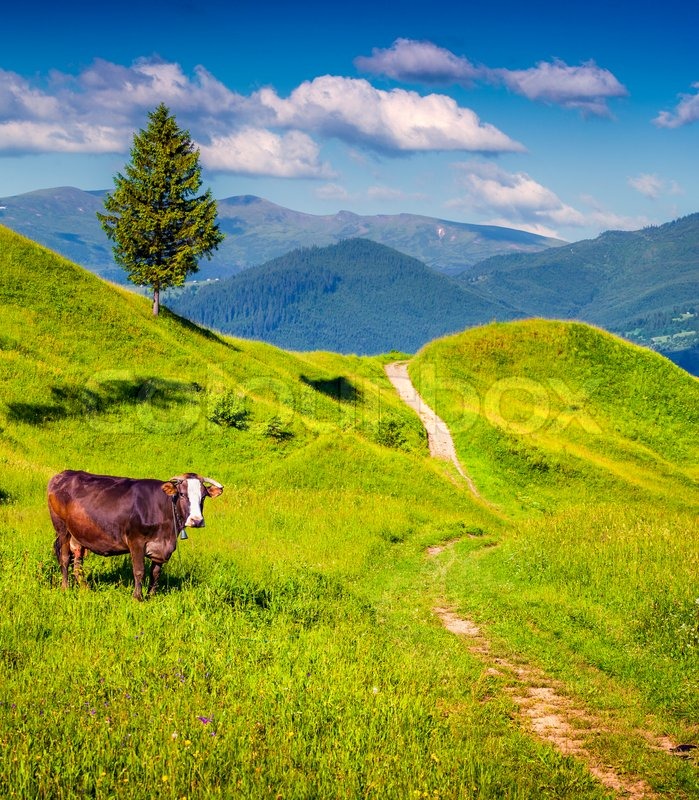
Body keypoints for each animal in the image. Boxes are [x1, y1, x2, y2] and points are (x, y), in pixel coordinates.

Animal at [48, 470, 223, 600]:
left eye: (203, 496)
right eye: (181, 494)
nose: (197, 520)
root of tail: (61, 475)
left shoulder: (161, 547)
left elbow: (155, 573)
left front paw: (151, 597)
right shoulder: (136, 541)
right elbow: (139, 571)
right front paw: (137, 598)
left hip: (78, 534)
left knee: (77, 563)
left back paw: (85, 589)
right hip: (62, 529)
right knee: (64, 557)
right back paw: (65, 588)